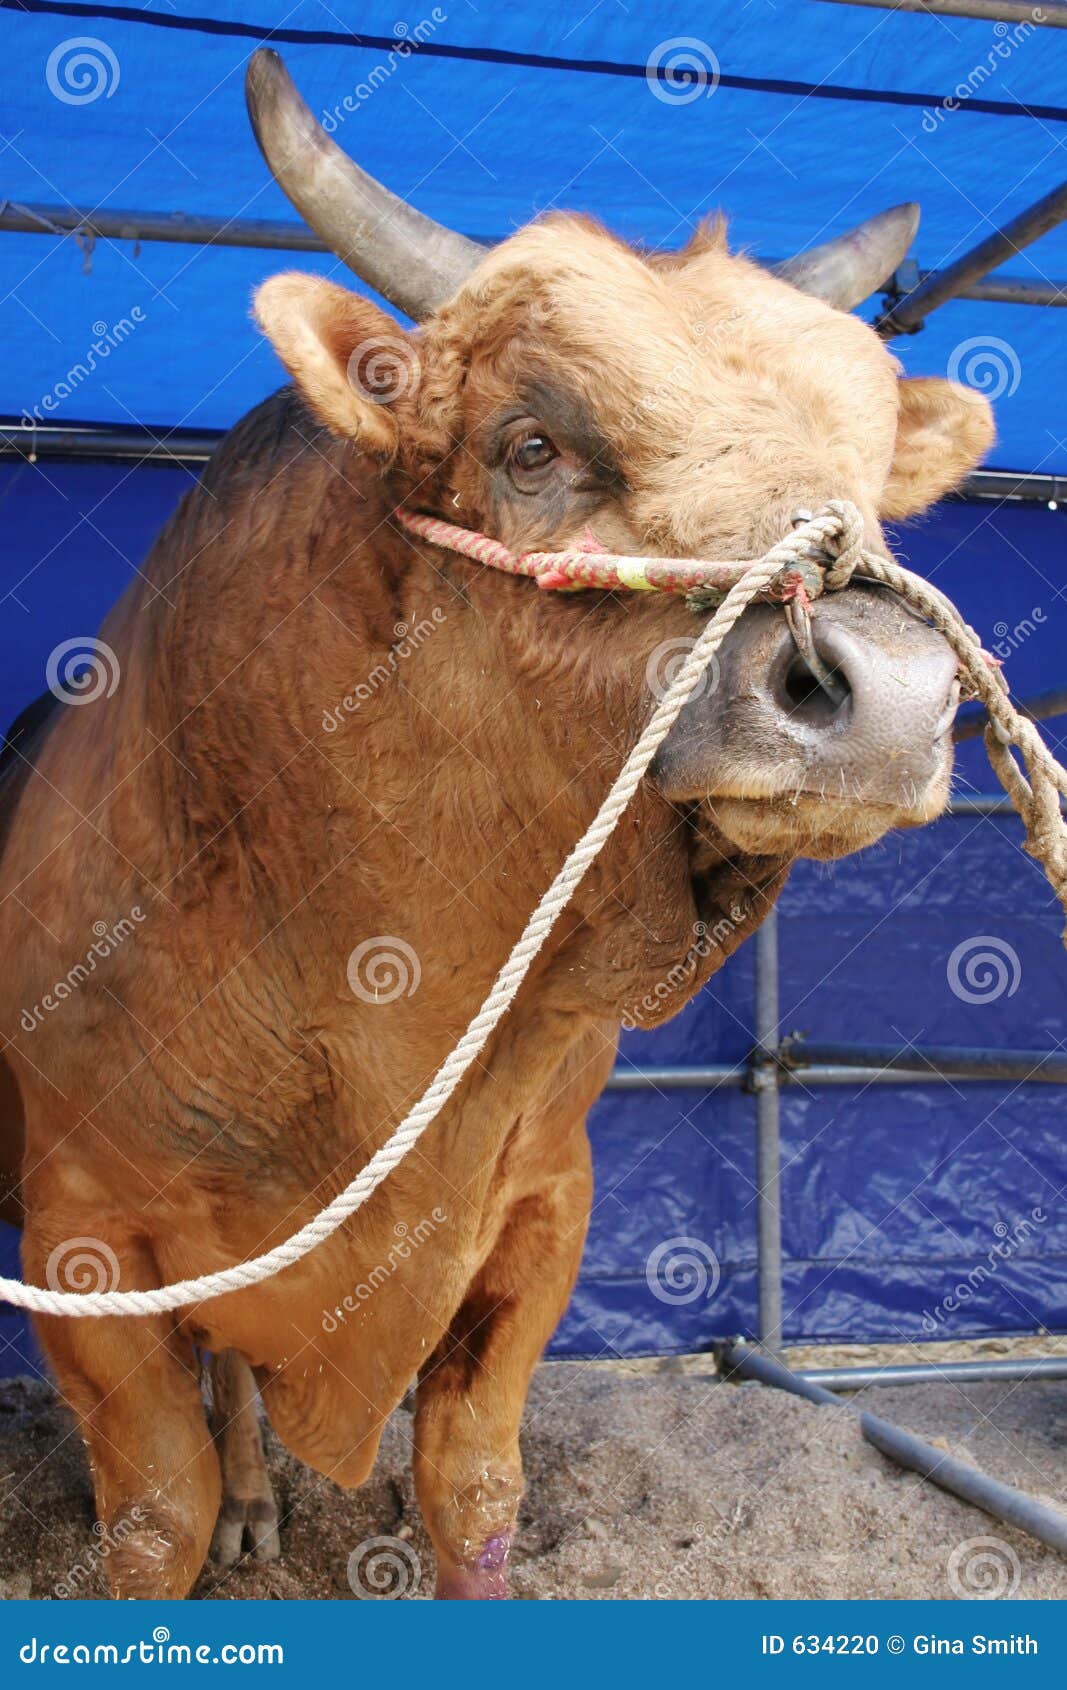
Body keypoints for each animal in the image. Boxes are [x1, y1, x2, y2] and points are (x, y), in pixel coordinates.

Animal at [0, 49, 992, 1600]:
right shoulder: (79, 1234)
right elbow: (152, 1513)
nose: (888, 695)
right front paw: (198, 1520)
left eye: (866, 462)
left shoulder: (544, 1204)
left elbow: (470, 1488)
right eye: (530, 446)